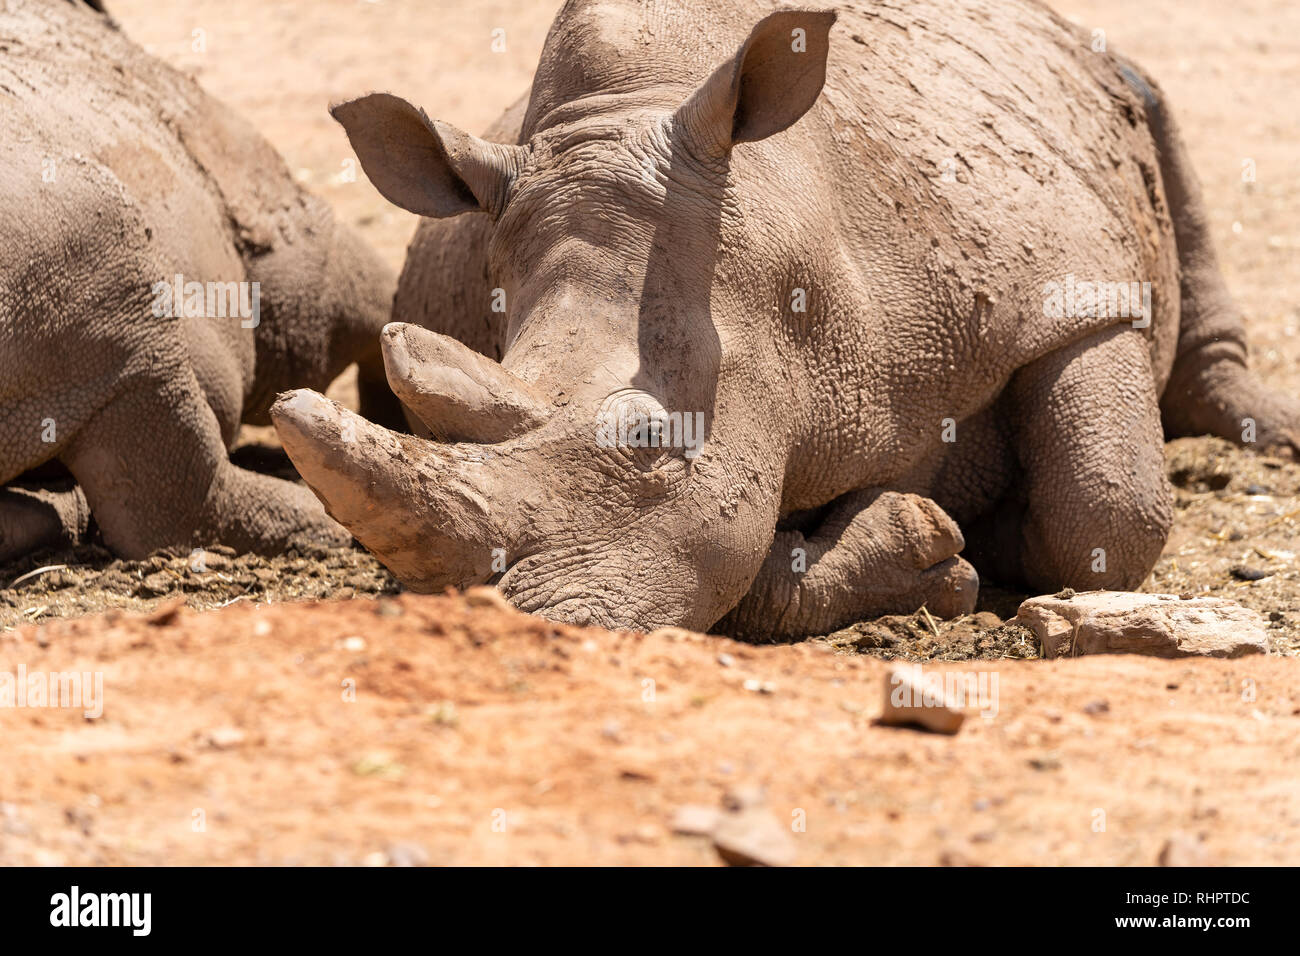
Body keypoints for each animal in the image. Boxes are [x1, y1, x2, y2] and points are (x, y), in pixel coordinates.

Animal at [272, 0, 1300, 638]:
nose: (500, 621)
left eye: (652, 442)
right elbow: (729, 557)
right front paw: (926, 553)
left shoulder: (1072, 288)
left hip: (1101, 72)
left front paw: (1003, 539)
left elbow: (1111, 511)